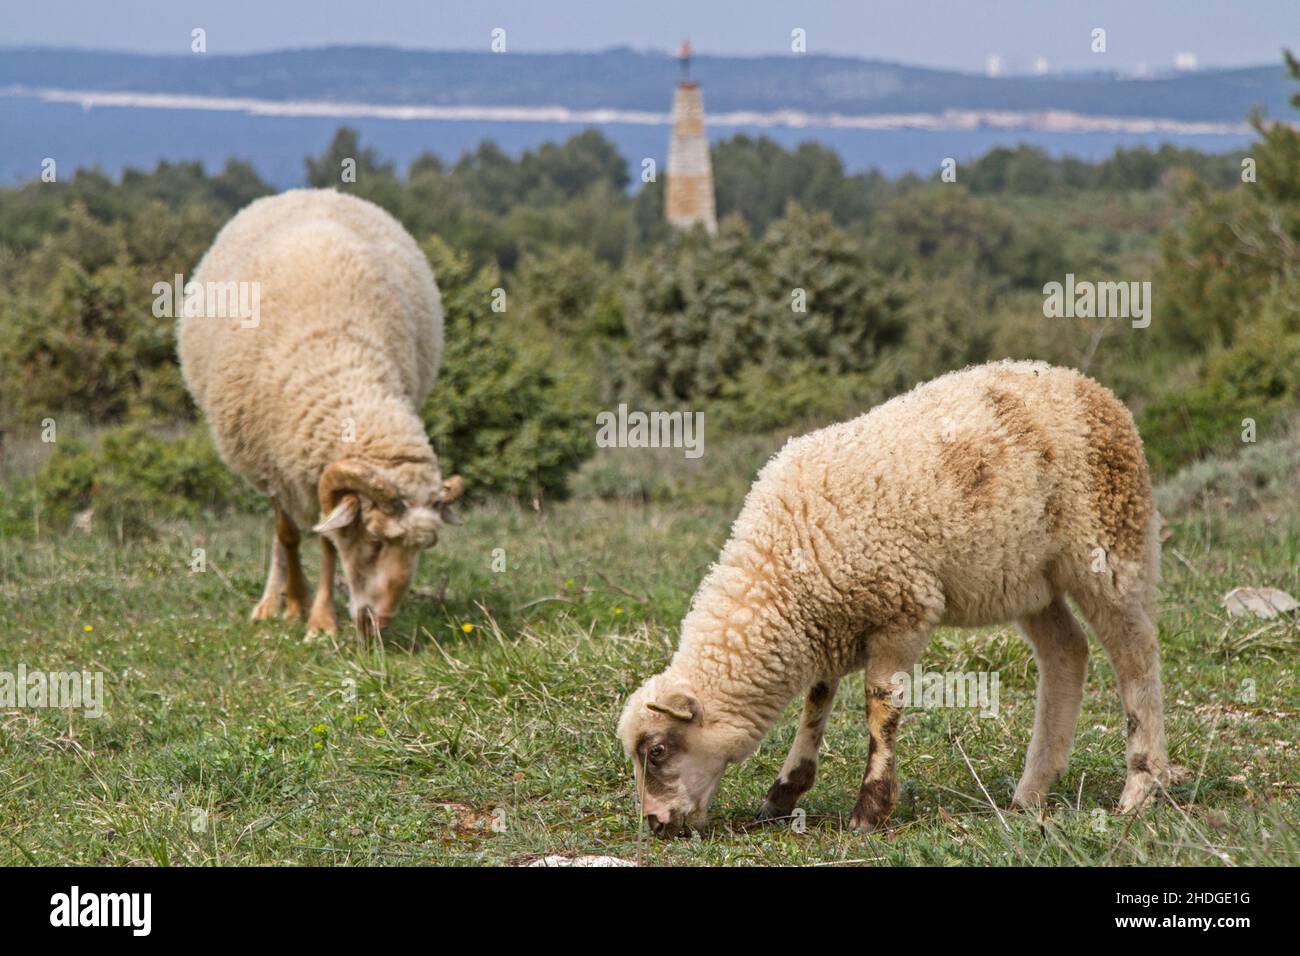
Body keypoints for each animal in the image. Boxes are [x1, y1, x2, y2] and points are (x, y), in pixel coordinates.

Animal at [177, 189, 463, 640]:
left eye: (424, 546)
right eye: (375, 540)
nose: (379, 624)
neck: (339, 361)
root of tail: (314, 191)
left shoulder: (315, 474)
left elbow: (329, 544)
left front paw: (322, 620)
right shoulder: (274, 463)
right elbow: (288, 534)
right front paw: (296, 604)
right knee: (283, 535)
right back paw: (270, 603)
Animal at [618, 360, 1171, 836]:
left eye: (657, 751)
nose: (655, 824)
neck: (785, 563)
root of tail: (1091, 387)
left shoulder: (902, 612)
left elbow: (880, 711)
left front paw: (870, 808)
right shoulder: (831, 619)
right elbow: (817, 700)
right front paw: (785, 792)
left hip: (1109, 543)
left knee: (1136, 654)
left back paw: (1140, 787)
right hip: (1030, 578)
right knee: (1066, 652)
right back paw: (1031, 791)